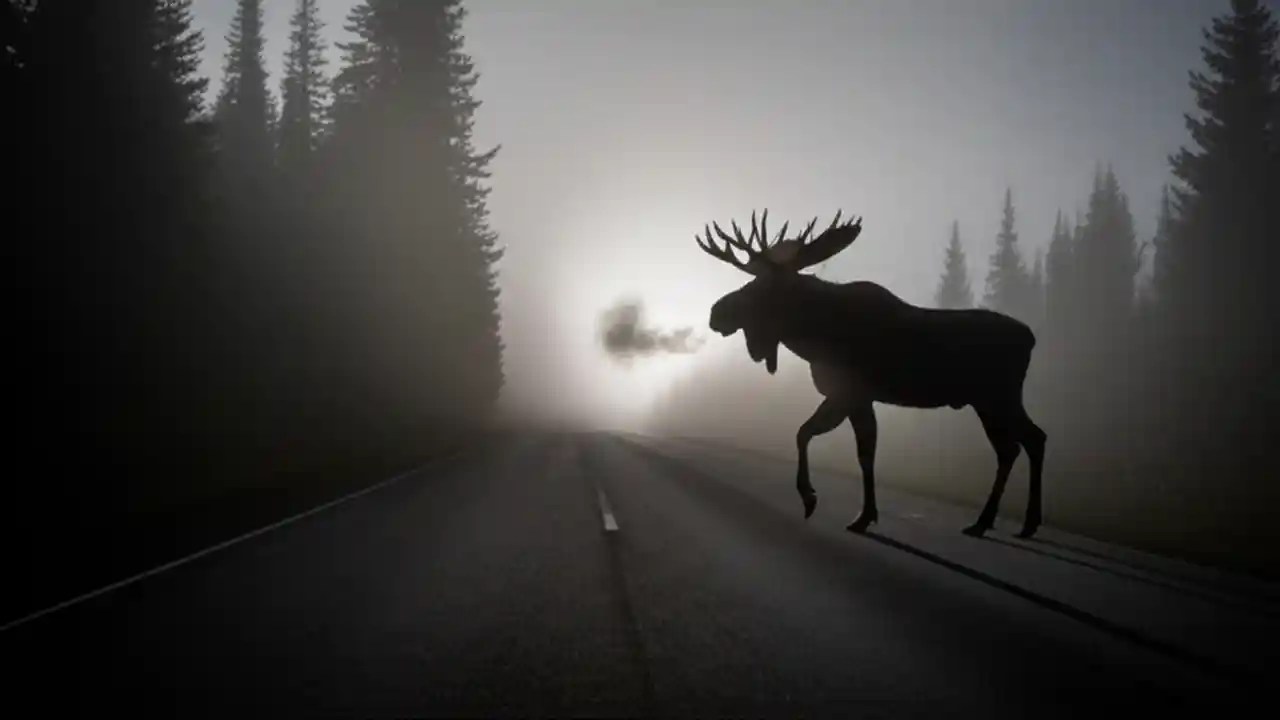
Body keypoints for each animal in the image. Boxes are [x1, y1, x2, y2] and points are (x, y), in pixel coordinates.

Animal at [694, 209, 1046, 539]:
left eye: (763, 286)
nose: (716, 312)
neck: (813, 335)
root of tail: (1031, 337)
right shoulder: (849, 397)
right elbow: (835, 442)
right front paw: (848, 509)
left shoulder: (850, 393)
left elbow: (833, 443)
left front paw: (824, 502)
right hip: (986, 402)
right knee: (1016, 445)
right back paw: (994, 522)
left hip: (998, 396)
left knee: (1029, 440)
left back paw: (1015, 521)